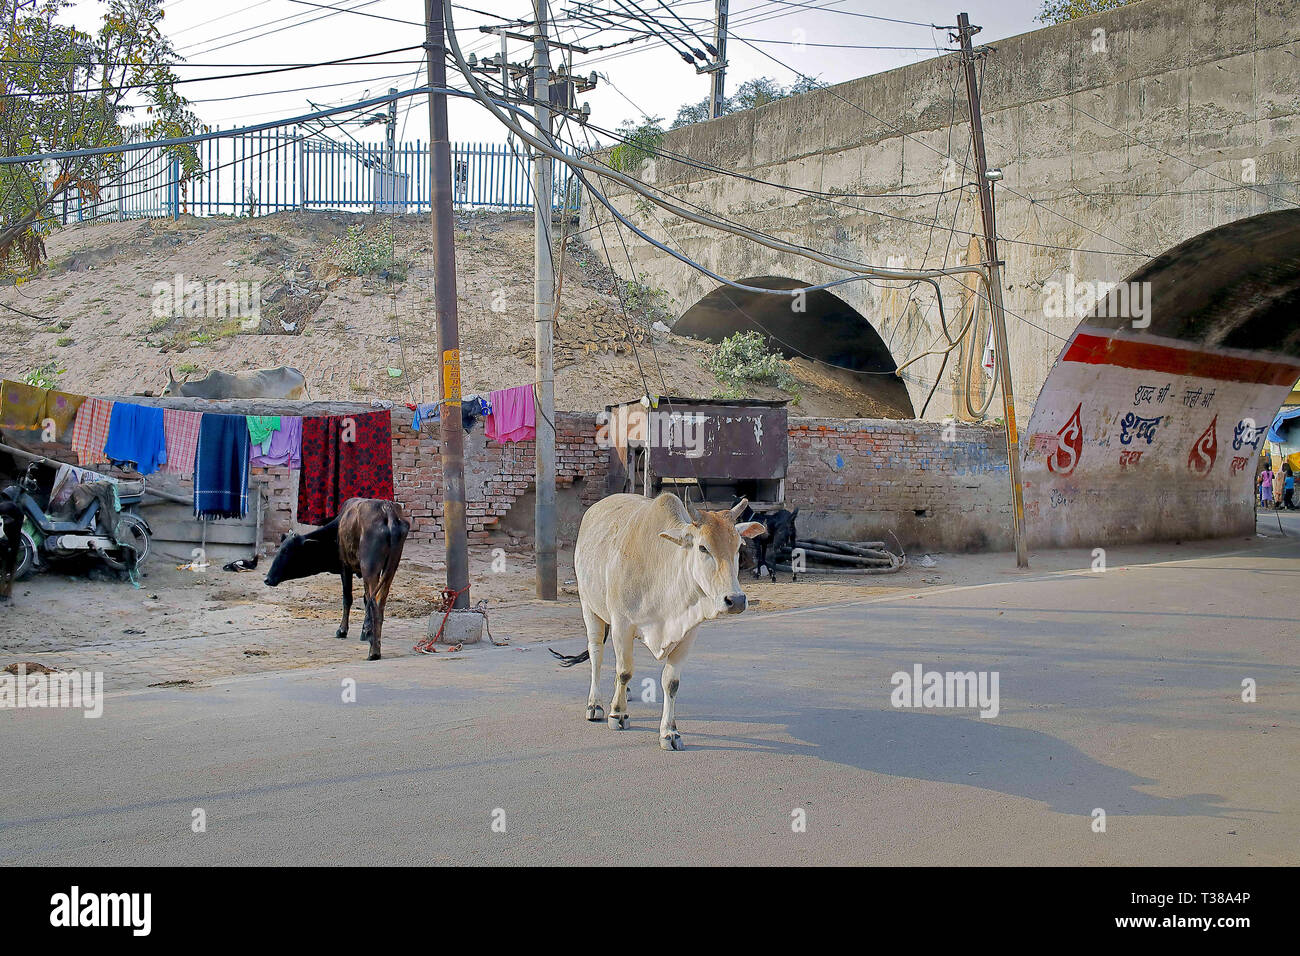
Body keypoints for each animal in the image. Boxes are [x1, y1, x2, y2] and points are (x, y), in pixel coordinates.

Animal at [263, 498, 409, 661]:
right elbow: (365, 599)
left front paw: (343, 630)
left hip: (370, 568)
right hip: (390, 568)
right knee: (379, 602)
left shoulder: (344, 566)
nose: (268, 579)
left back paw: (374, 651)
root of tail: (387, 509)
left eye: (287, 551)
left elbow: (347, 598)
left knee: (374, 604)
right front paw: (365, 632)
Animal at [560, 492, 765, 751]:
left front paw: (670, 732)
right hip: (589, 605)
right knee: (596, 653)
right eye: (703, 547)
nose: (736, 600)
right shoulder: (621, 624)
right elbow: (625, 671)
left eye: (738, 547)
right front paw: (618, 714)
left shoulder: (688, 633)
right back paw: (595, 705)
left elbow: (670, 682)